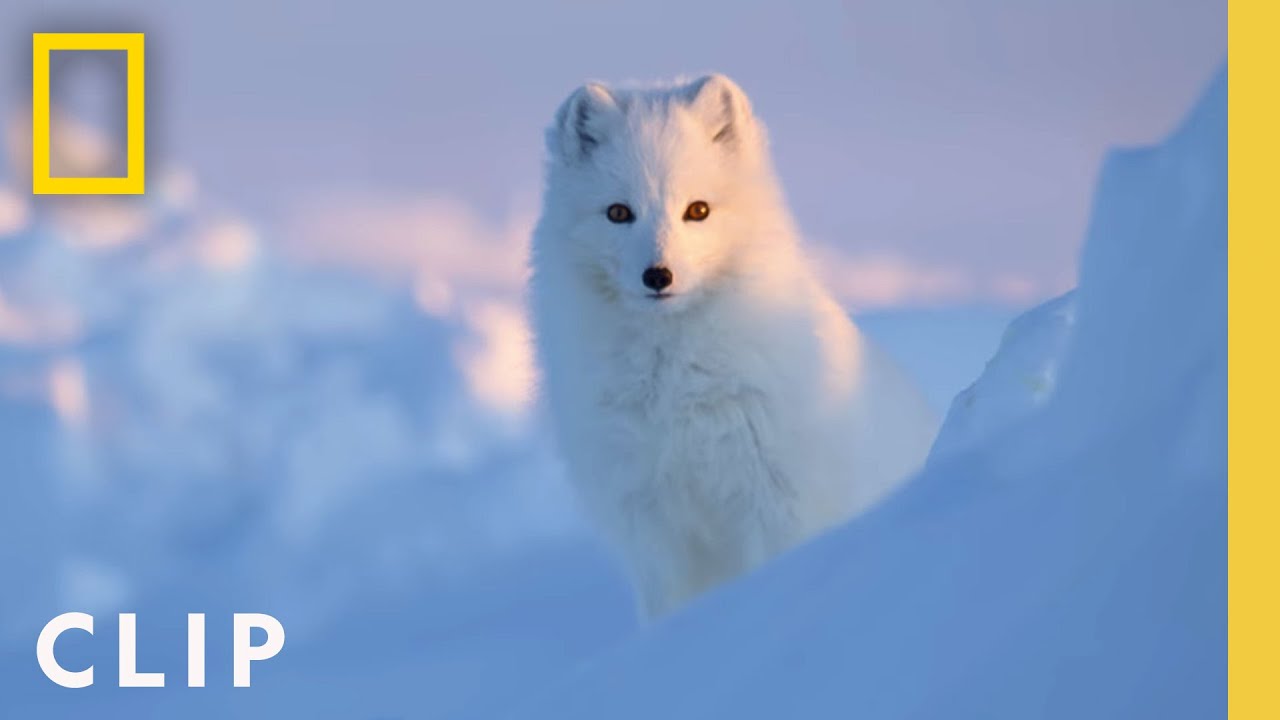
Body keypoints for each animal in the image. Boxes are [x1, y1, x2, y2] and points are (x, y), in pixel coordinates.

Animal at [529, 74, 938, 619]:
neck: (674, 383)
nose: (658, 276)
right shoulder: (647, 520)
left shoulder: (778, 500)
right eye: (618, 212)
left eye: (697, 210)